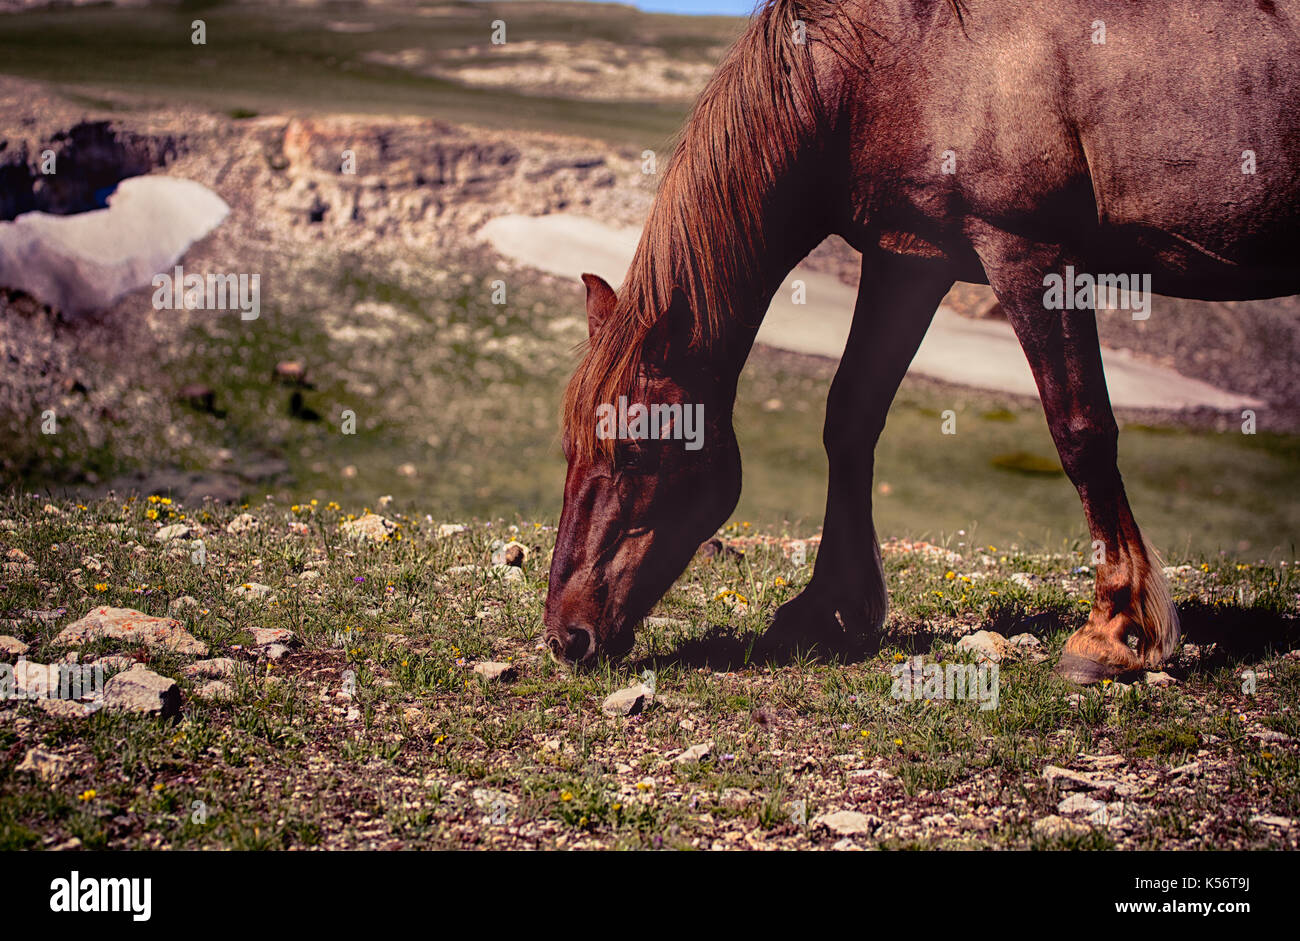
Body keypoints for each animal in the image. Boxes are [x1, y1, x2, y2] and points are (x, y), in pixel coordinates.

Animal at [543, 0, 1300, 682]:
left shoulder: (1029, 255)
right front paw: (827, 609)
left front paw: (1114, 630)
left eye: (637, 450)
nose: (565, 636)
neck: (899, 57)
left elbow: (1081, 430)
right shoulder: (908, 260)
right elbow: (849, 418)